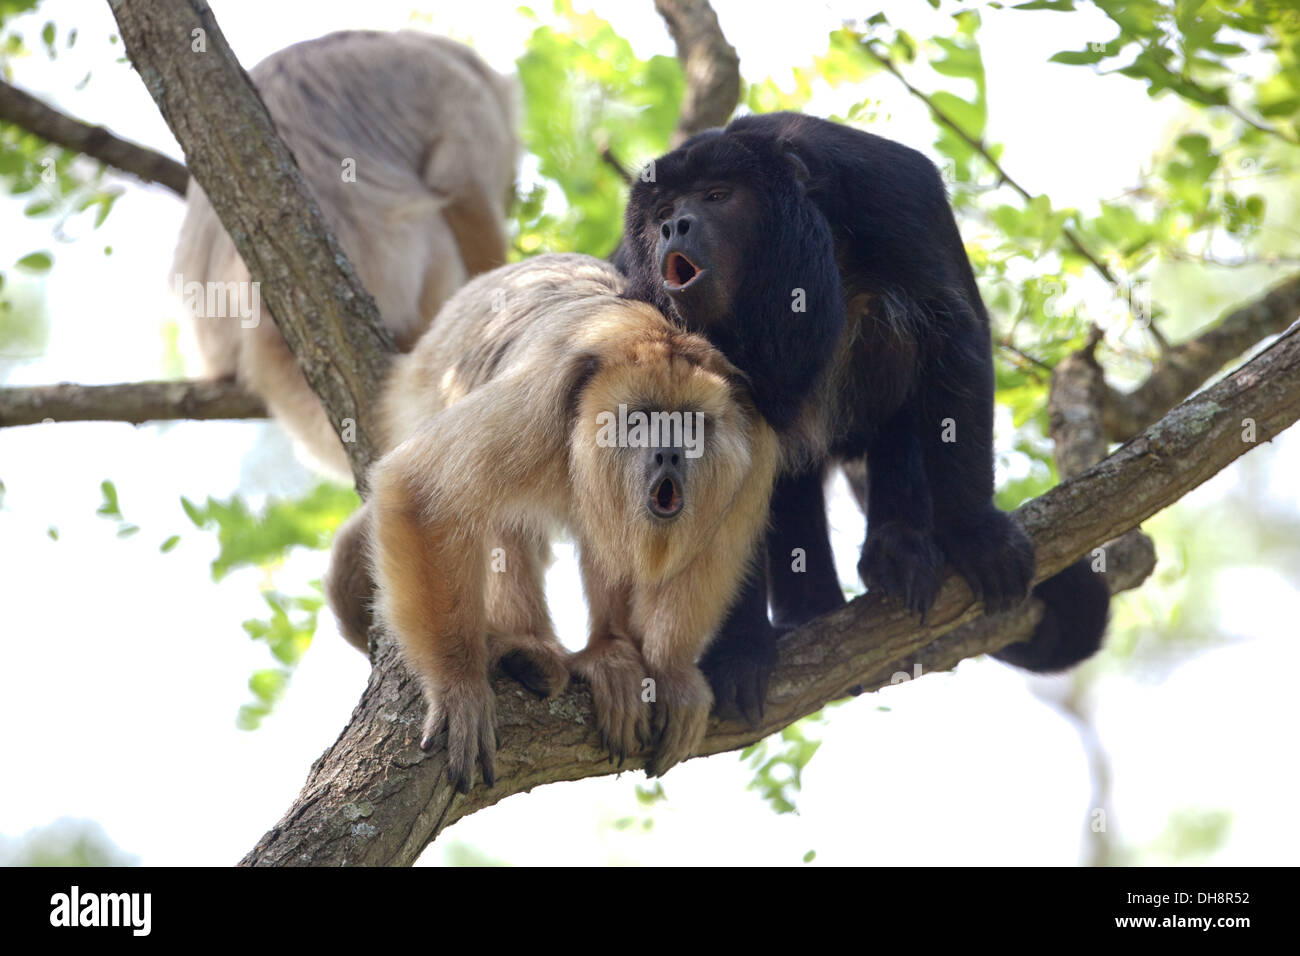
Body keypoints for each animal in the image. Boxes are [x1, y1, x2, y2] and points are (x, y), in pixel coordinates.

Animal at [325, 254, 780, 792]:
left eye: (689, 426)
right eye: (639, 421)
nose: (668, 454)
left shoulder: (754, 439)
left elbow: (715, 550)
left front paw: (670, 671)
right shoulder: (544, 395)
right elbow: (422, 488)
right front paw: (459, 686)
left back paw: (610, 653)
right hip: (420, 399)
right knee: (497, 519)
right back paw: (532, 654)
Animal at [615, 112, 1111, 720]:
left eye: (716, 196)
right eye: (662, 211)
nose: (673, 227)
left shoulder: (894, 194)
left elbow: (955, 333)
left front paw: (976, 533)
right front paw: (737, 650)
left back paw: (897, 549)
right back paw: (808, 614)